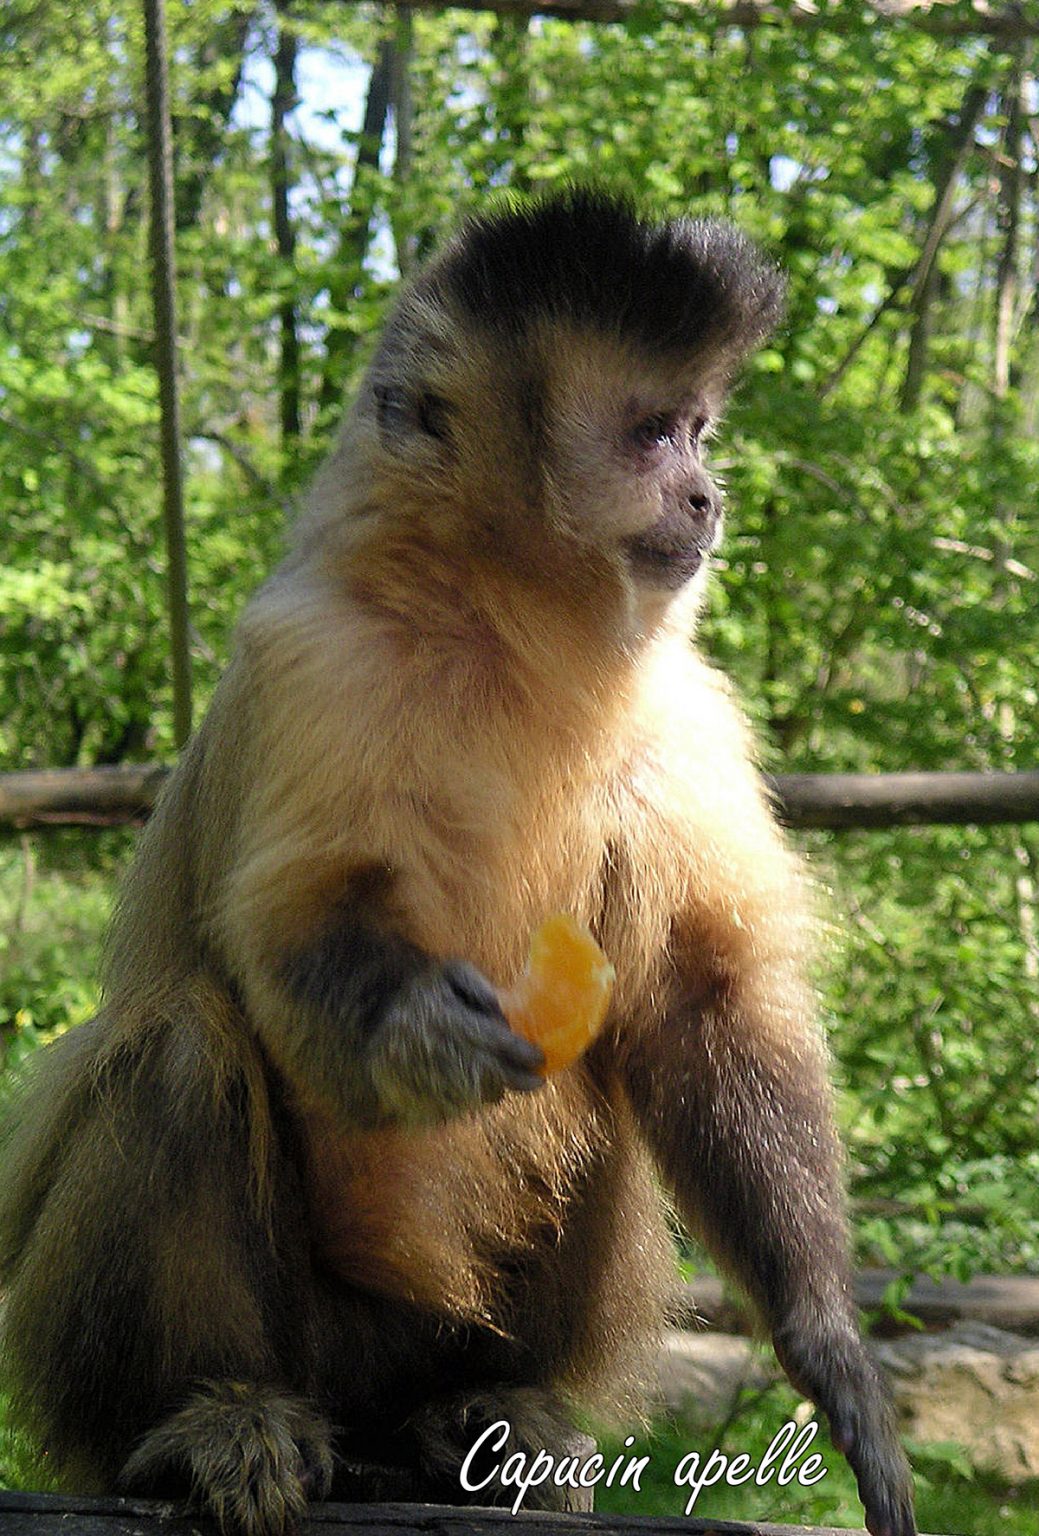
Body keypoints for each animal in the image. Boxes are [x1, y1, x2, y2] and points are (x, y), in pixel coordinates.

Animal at [0, 189, 915, 1536]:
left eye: (698, 432)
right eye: (652, 436)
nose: (706, 495)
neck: (501, 634)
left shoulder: (681, 704)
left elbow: (701, 997)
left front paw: (828, 1350)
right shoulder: (313, 651)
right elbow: (296, 926)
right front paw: (415, 1033)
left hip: (426, 1340)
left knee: (590, 1095)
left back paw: (483, 1411)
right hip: (280, 1341)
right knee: (179, 1047)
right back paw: (200, 1422)